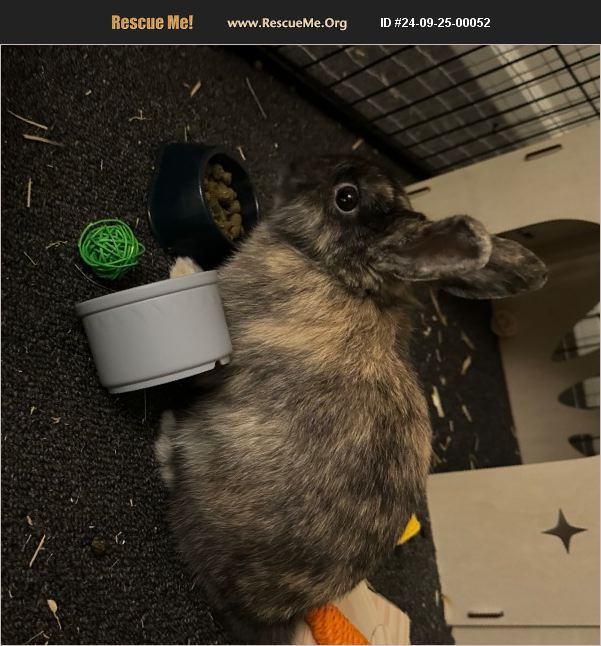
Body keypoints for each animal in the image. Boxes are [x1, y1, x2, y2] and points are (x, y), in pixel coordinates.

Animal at [155, 155, 547, 644]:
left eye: (347, 197)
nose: (294, 169)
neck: (336, 270)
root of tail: (261, 608)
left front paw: (183, 268)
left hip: (205, 443)